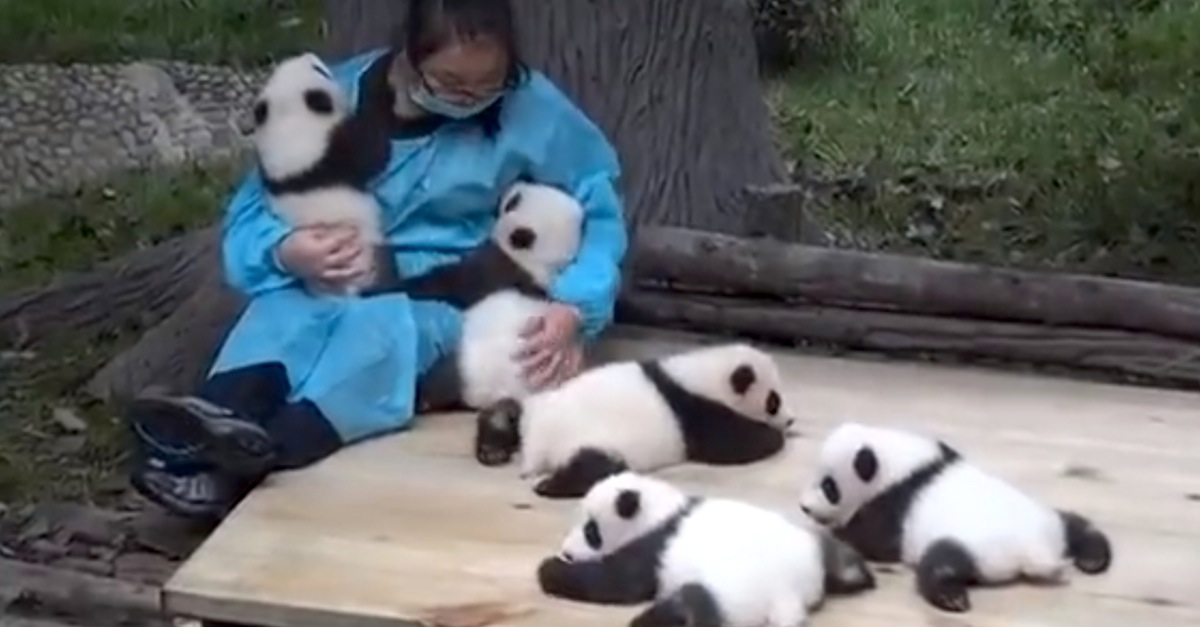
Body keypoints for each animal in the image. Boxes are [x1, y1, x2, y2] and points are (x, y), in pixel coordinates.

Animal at [475, 342, 798, 499]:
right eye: (773, 401)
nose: (791, 420)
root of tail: (535, 449)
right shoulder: (695, 410)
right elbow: (729, 443)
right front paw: (772, 435)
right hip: (594, 438)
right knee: (596, 468)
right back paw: (550, 485)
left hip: (536, 407)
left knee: (508, 412)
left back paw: (493, 449)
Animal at [537, 471, 877, 627]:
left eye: (592, 532)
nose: (567, 552)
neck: (662, 510)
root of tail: (788, 594)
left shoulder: (655, 545)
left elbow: (617, 582)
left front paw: (550, 569)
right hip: (810, 547)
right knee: (839, 557)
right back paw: (858, 575)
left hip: (734, 591)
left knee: (692, 606)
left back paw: (649, 621)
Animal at [797, 421, 1113, 613]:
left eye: (829, 487)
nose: (804, 507)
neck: (908, 466)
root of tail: (1037, 549)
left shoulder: (893, 505)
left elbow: (879, 541)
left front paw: (839, 530)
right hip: (1047, 519)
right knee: (1074, 525)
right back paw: (1094, 557)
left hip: (976, 545)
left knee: (941, 562)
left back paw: (951, 597)